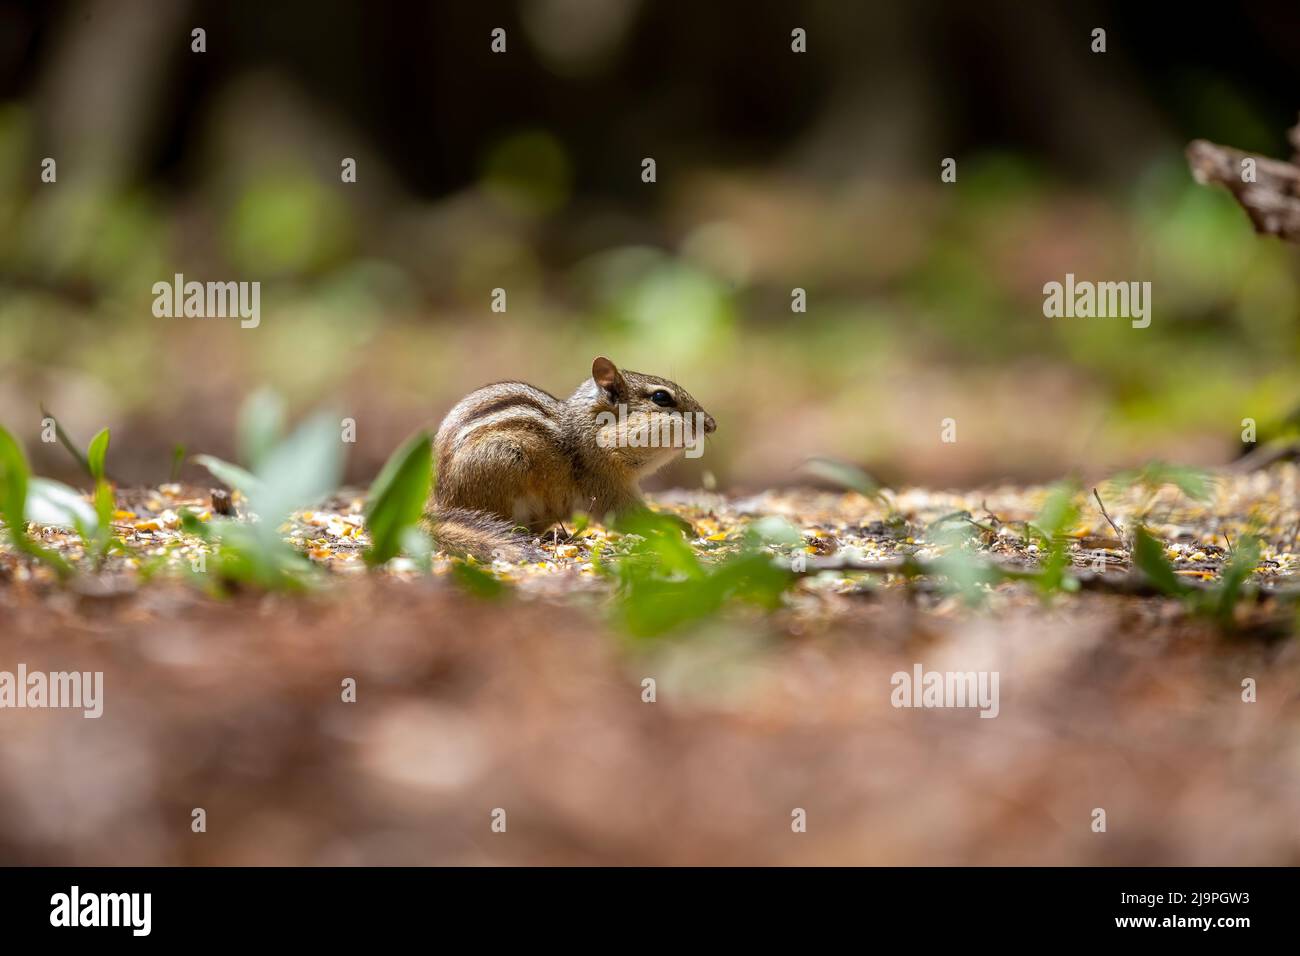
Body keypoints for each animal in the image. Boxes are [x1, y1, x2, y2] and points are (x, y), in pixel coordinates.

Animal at [423, 356, 716, 561]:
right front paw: (673, 522)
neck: (591, 434)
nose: (712, 425)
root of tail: (439, 500)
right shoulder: (606, 486)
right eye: (661, 397)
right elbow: (629, 517)